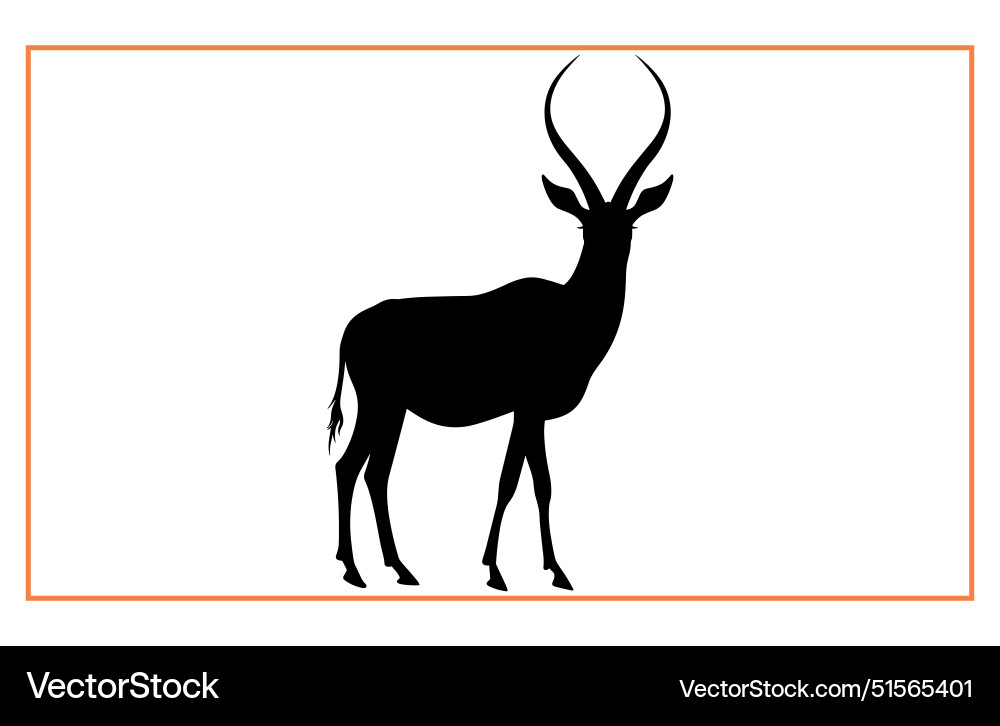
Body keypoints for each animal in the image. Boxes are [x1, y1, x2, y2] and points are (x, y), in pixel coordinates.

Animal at [328, 56, 673, 591]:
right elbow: (518, 482)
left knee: (374, 473)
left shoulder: (529, 415)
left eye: (629, 225)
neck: (570, 313)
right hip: (380, 404)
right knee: (349, 468)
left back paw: (401, 569)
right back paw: (354, 571)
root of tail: (351, 329)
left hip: (394, 410)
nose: (609, 261)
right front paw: (507, 572)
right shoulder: (528, 408)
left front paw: (543, 570)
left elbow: (533, 482)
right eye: (584, 225)